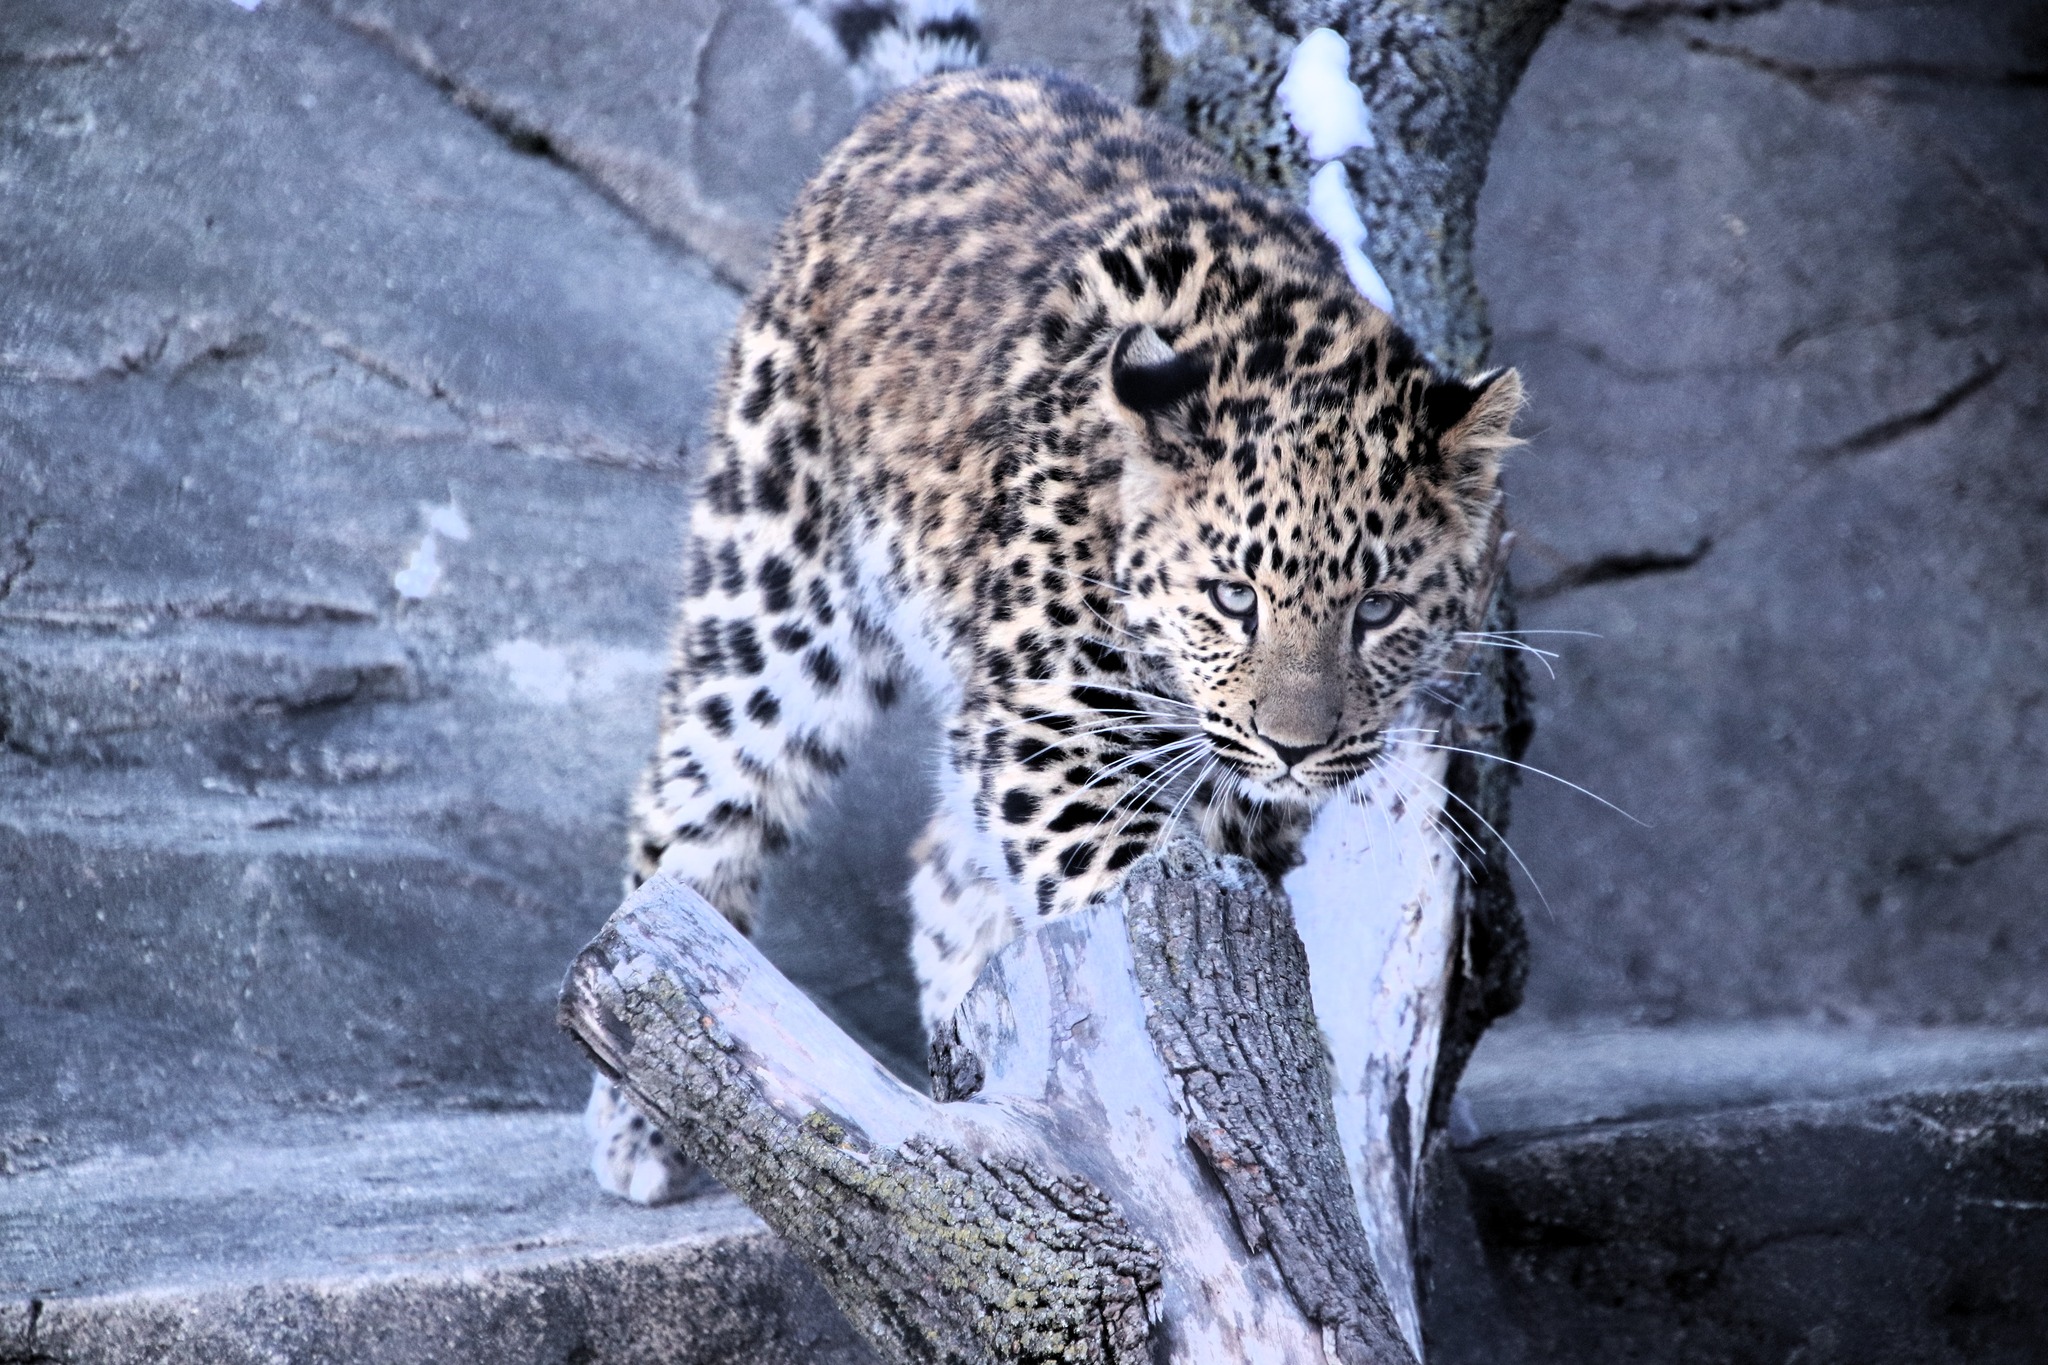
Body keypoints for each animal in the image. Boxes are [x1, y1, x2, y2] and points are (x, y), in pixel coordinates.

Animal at [588, 60, 1521, 1204]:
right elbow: (1126, 905)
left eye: (1377, 608)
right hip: (775, 581)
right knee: (696, 812)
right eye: (1233, 597)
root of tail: (946, 84)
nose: (1294, 747)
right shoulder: (1057, 735)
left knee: (946, 876)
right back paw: (641, 1110)